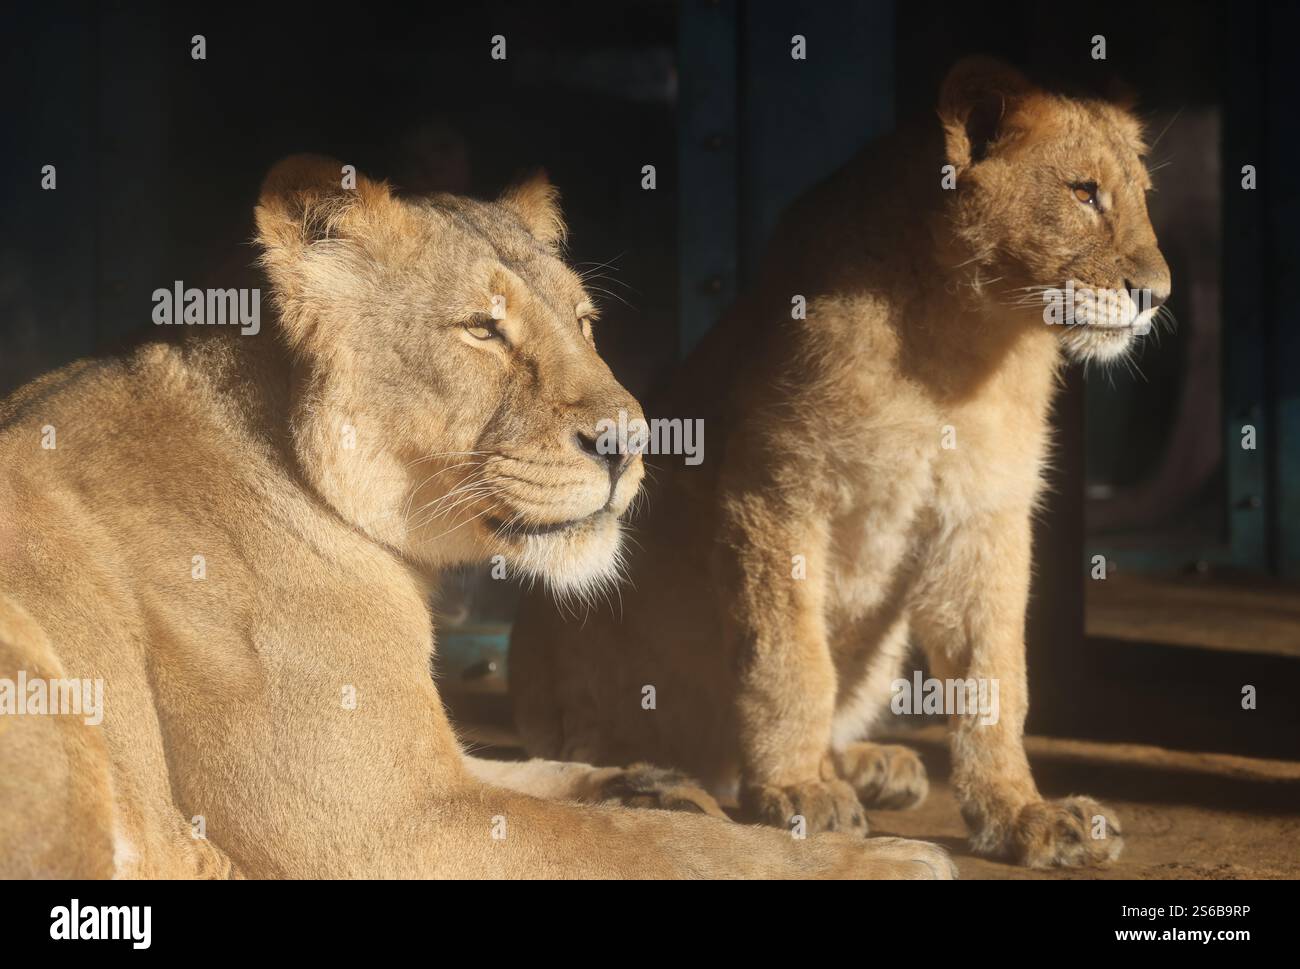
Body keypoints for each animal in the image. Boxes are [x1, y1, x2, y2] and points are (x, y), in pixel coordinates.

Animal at [0, 154, 954, 879]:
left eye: (583, 320)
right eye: (481, 330)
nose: (633, 441)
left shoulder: (441, 772)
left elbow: (549, 773)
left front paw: (650, 779)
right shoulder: (388, 826)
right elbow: (653, 847)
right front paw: (883, 861)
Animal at [511, 57, 1171, 867]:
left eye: (1142, 196)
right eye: (1083, 193)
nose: (1156, 295)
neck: (966, 342)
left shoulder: (982, 519)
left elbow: (992, 675)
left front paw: (1023, 812)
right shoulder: (775, 494)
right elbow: (789, 658)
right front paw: (797, 791)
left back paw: (875, 767)